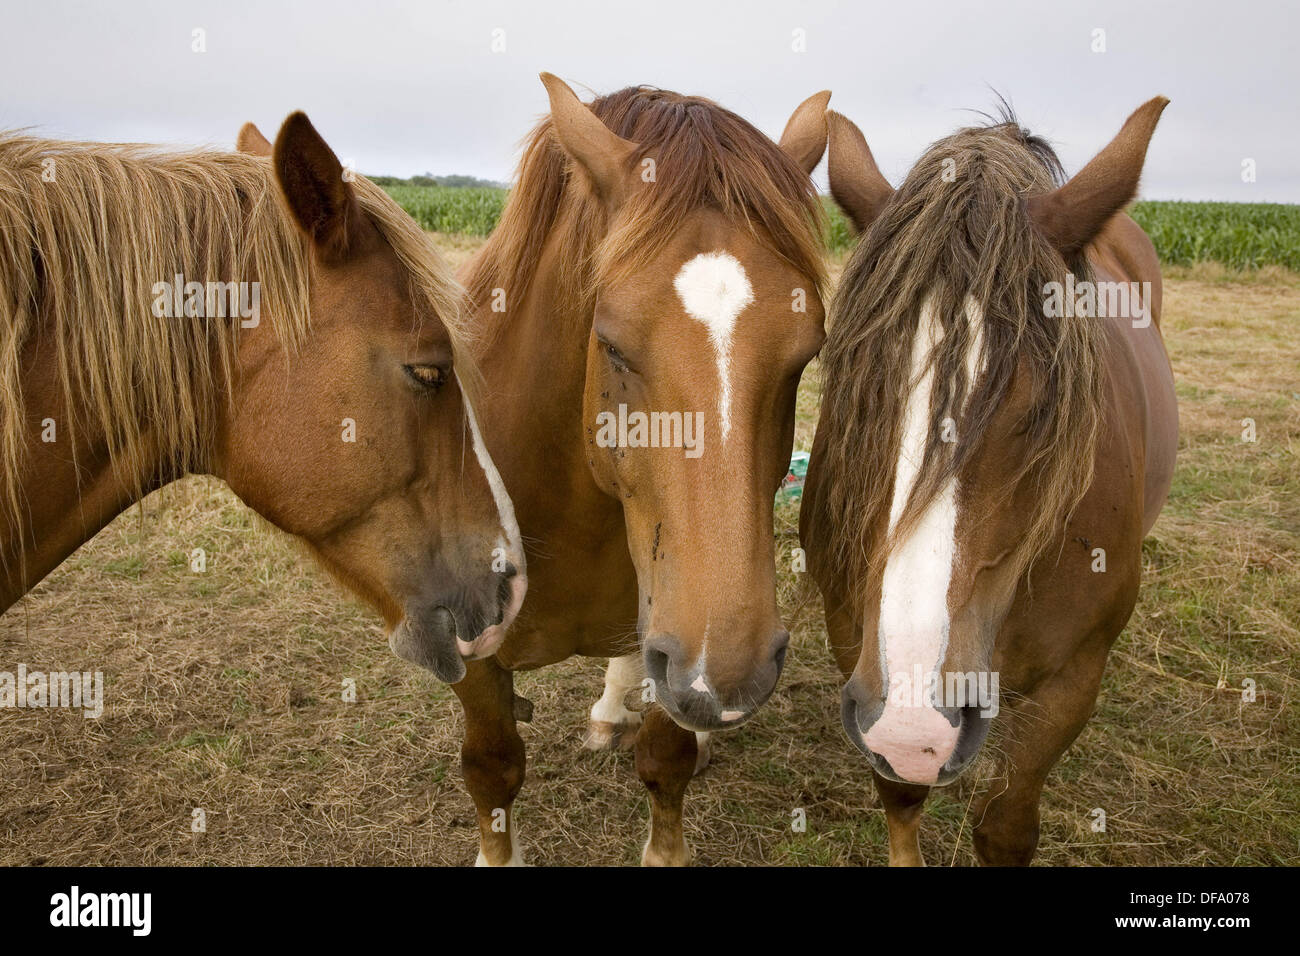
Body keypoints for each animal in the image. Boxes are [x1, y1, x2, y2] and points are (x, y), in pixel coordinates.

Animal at [451, 74, 831, 865]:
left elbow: (666, 758)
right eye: (612, 343)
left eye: (808, 352)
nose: (728, 674)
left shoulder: (671, 630)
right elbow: (492, 767)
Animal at [801, 97, 1176, 865]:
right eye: (851, 386)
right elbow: (901, 796)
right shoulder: (858, 652)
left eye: (1039, 415)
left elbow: (1004, 828)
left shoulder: (1071, 682)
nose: (915, 724)